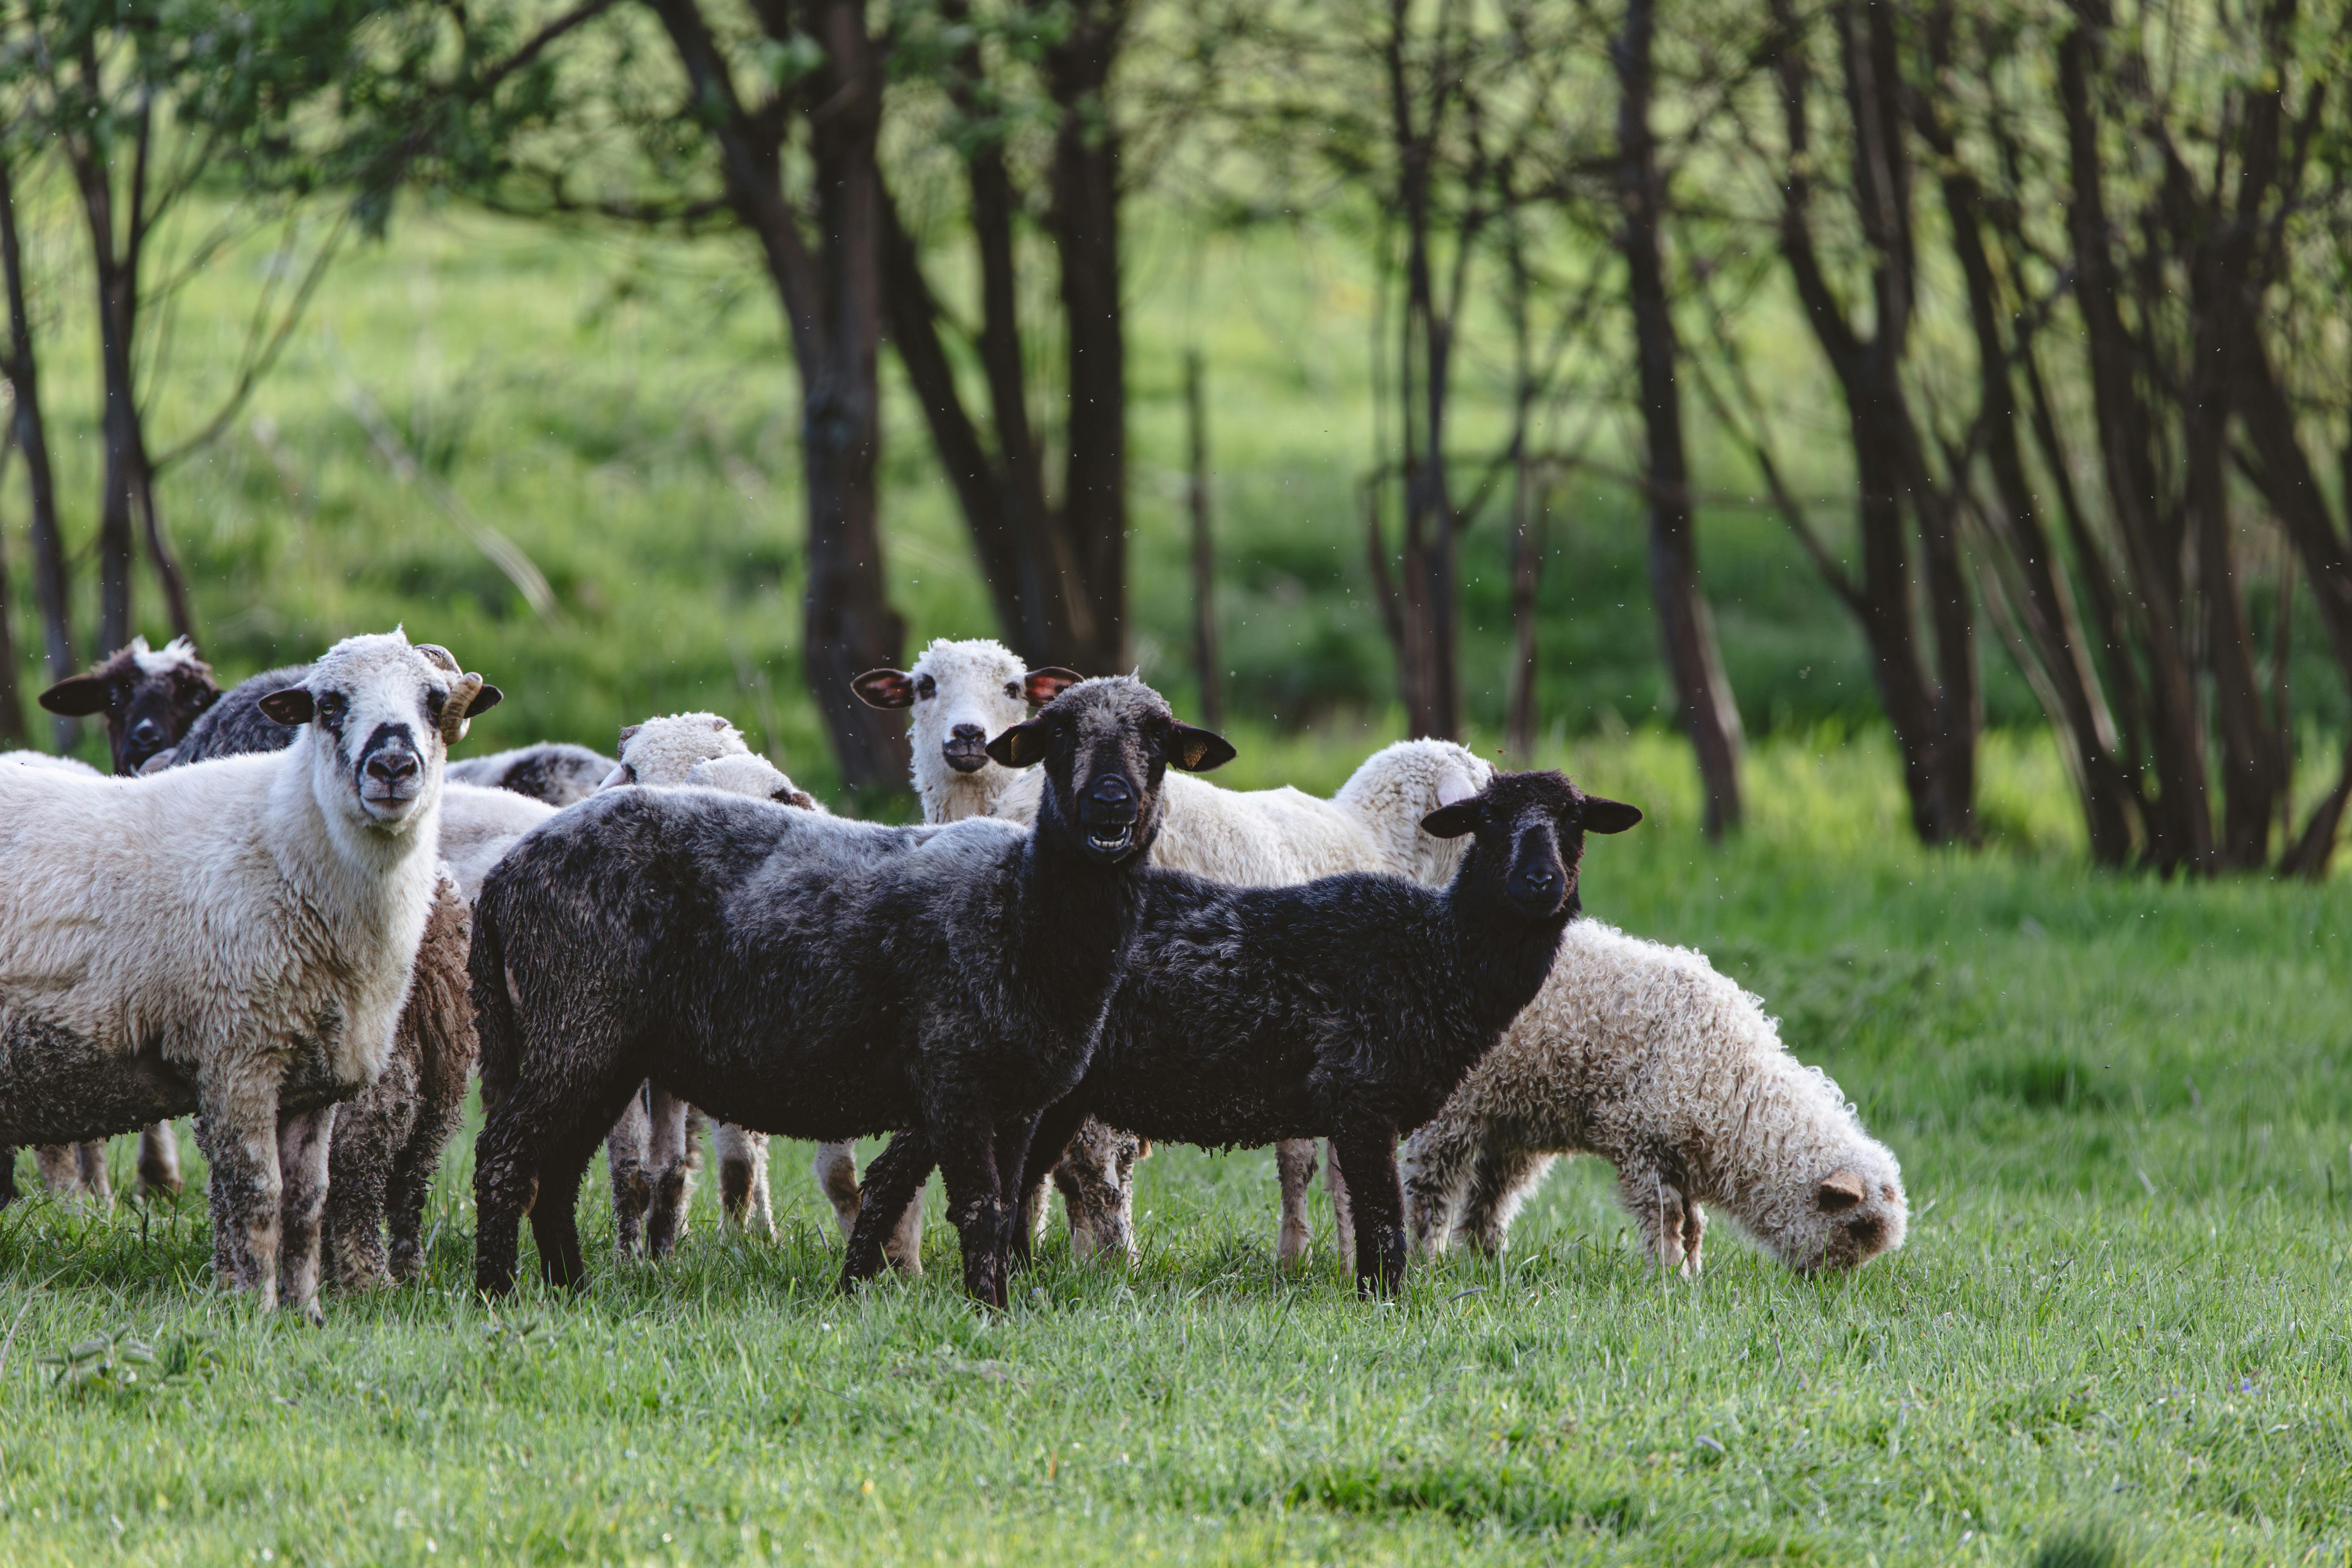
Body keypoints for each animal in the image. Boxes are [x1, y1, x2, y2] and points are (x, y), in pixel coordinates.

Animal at [0, 630, 501, 1316]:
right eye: (329, 705)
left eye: (433, 699)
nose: (394, 767)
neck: (287, 848)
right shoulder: (237, 1056)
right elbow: (258, 1191)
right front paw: (256, 1309)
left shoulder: (317, 1078)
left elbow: (308, 1200)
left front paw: (305, 1311)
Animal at [844, 771, 1643, 1296]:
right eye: (1489, 819)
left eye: (1574, 820)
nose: (1540, 882)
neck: (1436, 951)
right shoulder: (1361, 1095)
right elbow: (1383, 1221)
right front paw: (1383, 1302)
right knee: (898, 1171)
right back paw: (860, 1283)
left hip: (1052, 1089)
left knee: (1010, 1176)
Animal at [845, 637, 1496, 1269]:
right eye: (926, 686)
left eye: (1011, 687)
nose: (967, 736)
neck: (1376, 837)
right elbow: (1326, 1161)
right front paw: (1332, 1256)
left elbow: (1299, 1153)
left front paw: (1298, 1255)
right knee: (1096, 1156)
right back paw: (1112, 1258)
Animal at [1399, 921, 1908, 1275]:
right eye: (1857, 1226)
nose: (1827, 1283)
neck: (1737, 1089)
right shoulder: (1639, 1142)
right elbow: (1667, 1217)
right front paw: (1667, 1275)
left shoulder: (1686, 1154)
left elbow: (1694, 1224)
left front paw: (1693, 1273)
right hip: (1450, 1110)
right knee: (1429, 1188)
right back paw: (1426, 1259)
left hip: (1512, 1120)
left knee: (1488, 1200)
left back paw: (1489, 1263)